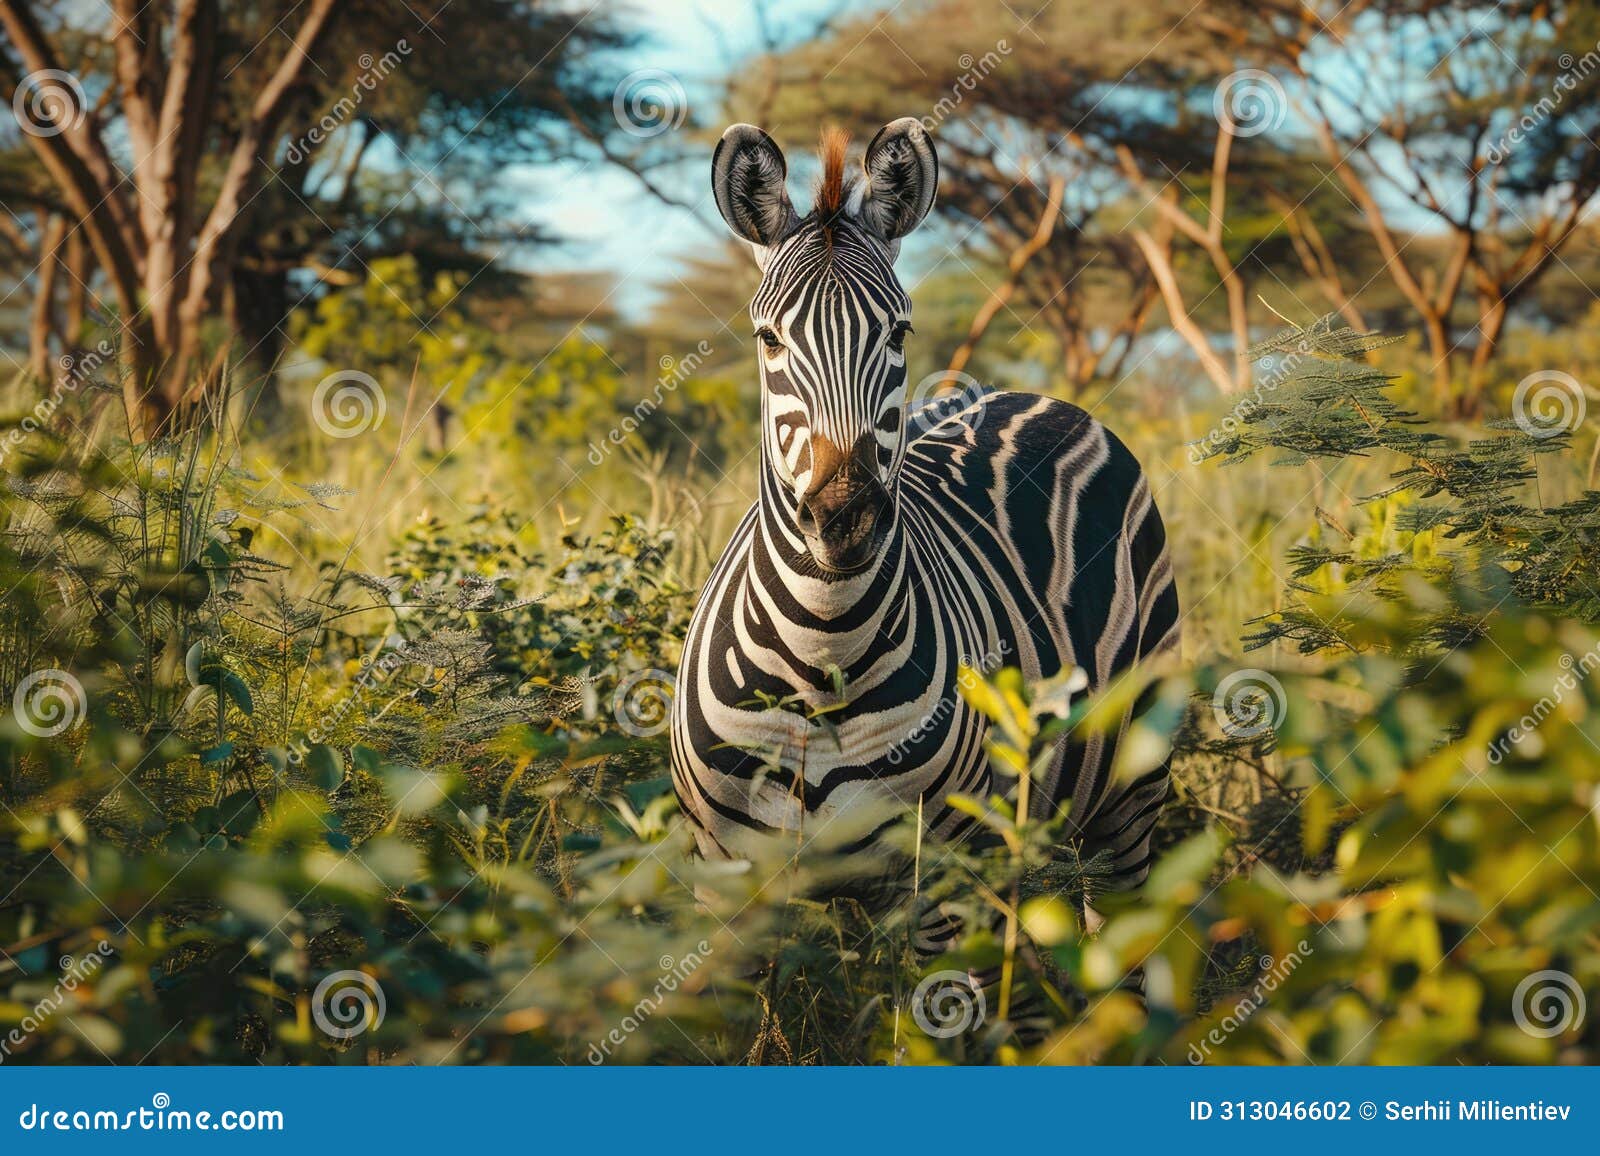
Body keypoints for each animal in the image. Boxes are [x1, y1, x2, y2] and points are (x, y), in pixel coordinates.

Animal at [670, 119, 1180, 929]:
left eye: (900, 334)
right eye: (768, 340)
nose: (845, 517)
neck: (822, 656)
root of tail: (1019, 392)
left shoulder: (937, 879)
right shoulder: (722, 876)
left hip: (1132, 786)